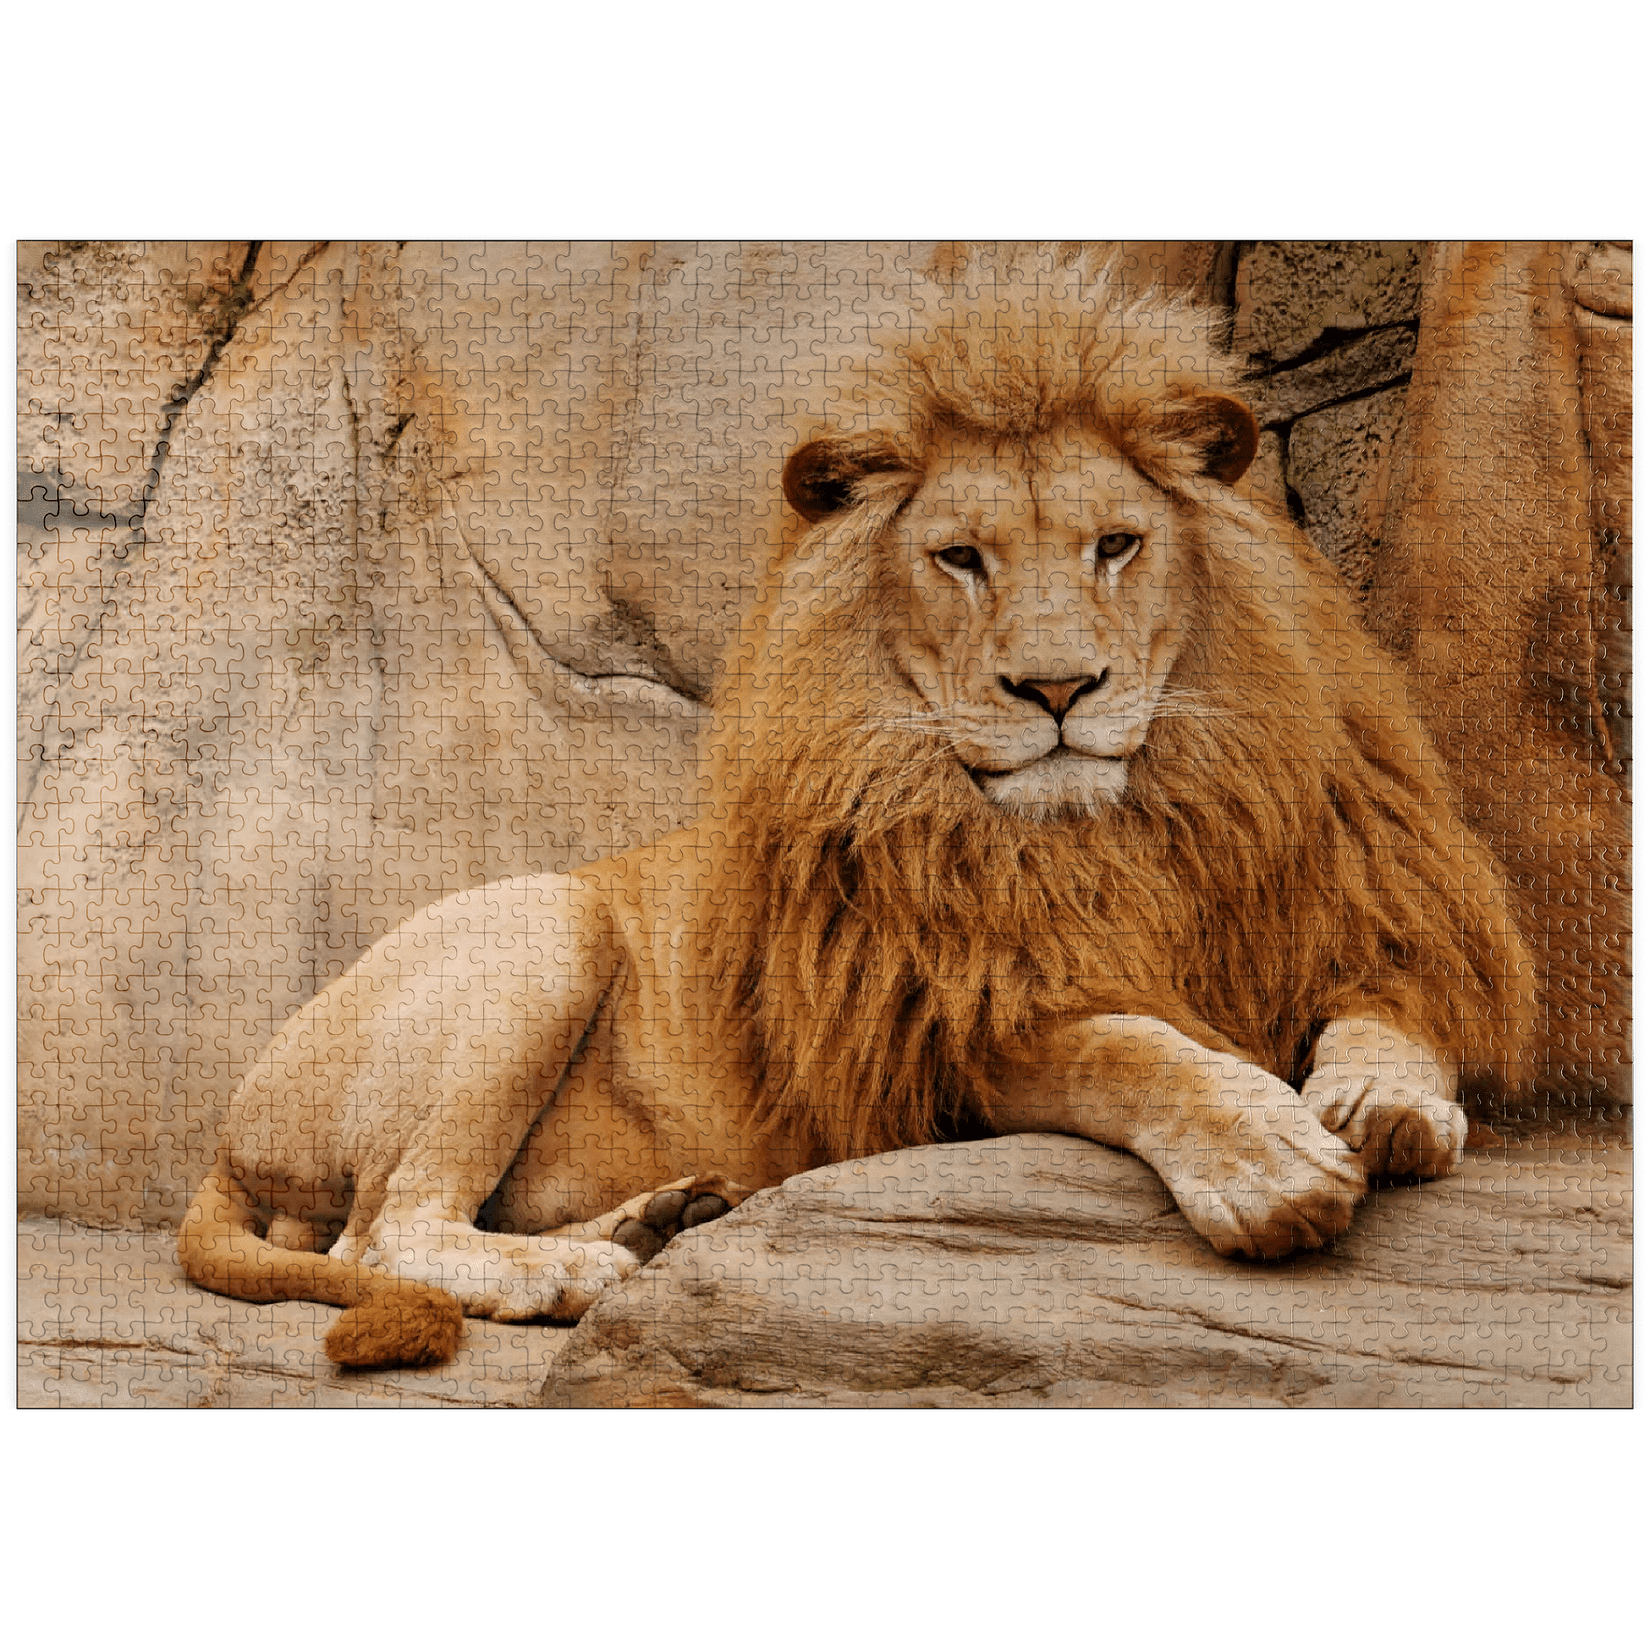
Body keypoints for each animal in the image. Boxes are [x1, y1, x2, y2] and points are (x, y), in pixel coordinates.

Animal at [179, 248, 1533, 1370]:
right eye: (960, 558)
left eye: (1116, 545)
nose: (1058, 690)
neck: (1122, 827)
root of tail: (231, 1127)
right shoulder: (946, 1033)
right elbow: (1126, 1050)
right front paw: (1267, 1160)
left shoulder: (1351, 904)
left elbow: (1393, 1006)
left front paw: (1387, 1104)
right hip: (544, 926)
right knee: (379, 1233)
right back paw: (577, 1272)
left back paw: (663, 1219)